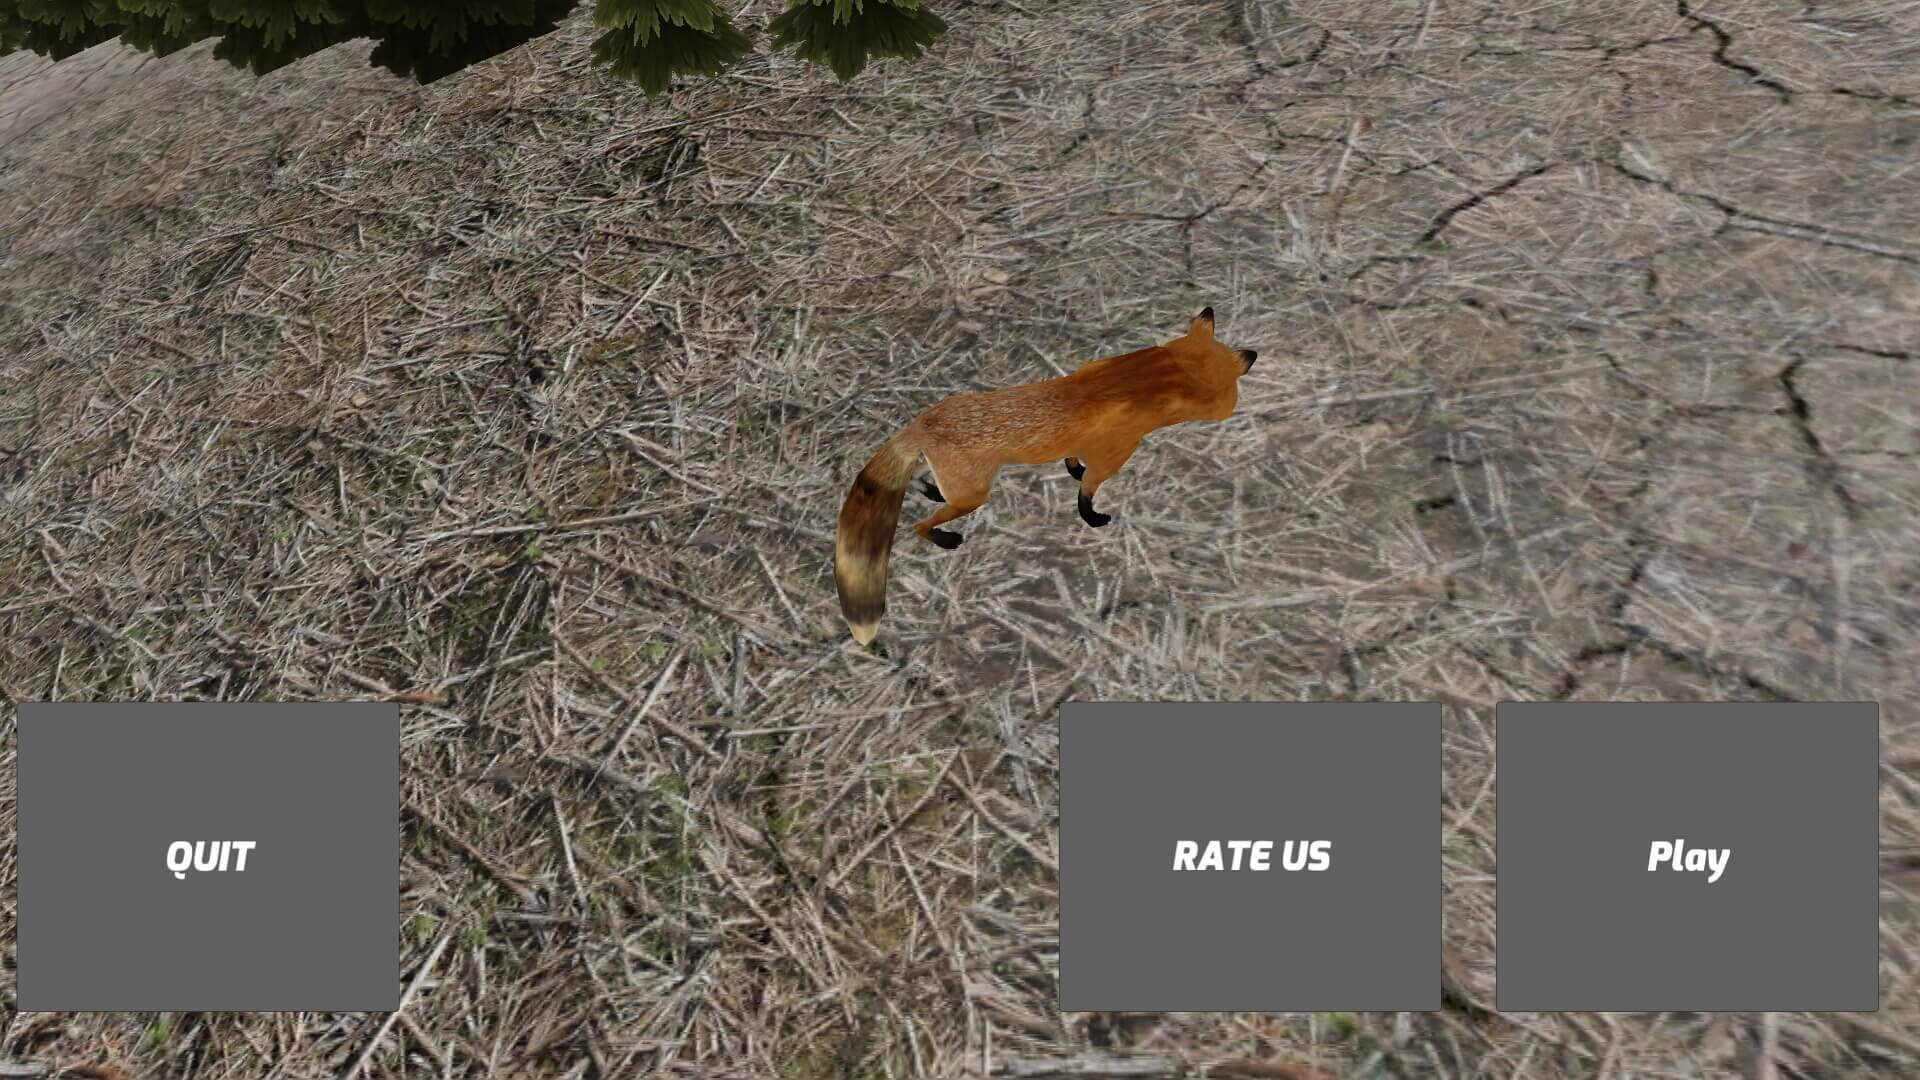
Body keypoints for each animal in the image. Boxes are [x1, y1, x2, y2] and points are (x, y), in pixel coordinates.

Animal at [833, 307, 1258, 644]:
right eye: (1230, 395)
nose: (1253, 354)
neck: (1149, 375)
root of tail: (927, 419)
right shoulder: (1112, 456)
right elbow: (1087, 493)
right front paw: (1093, 517)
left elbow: (1073, 463)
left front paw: (1073, 471)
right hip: (974, 496)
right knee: (918, 525)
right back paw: (944, 539)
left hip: (956, 482)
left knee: (922, 478)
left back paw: (930, 490)